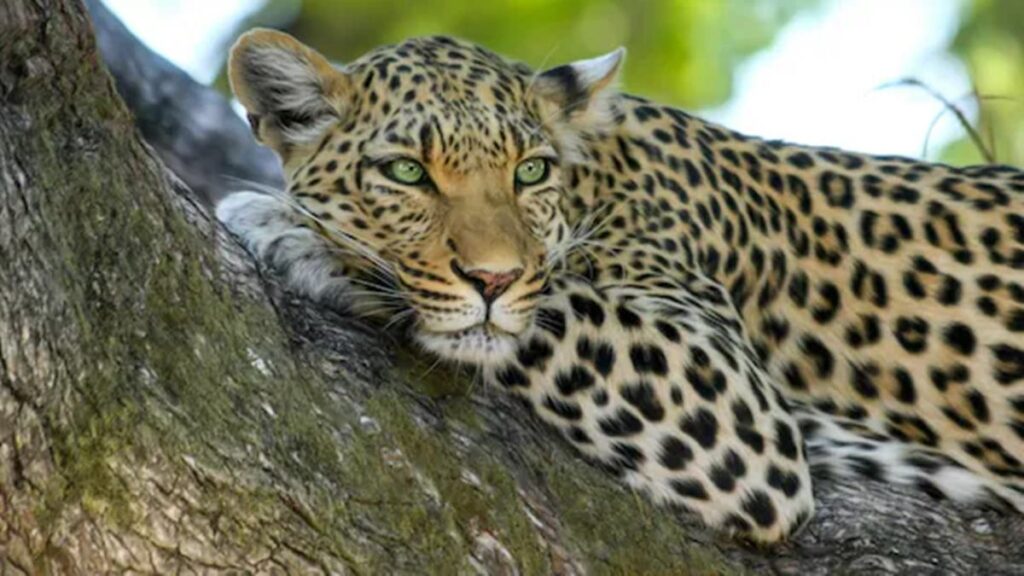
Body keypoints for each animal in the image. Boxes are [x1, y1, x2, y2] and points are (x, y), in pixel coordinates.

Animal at [216, 28, 1024, 543]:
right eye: (407, 172)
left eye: (529, 172)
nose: (492, 277)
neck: (597, 179)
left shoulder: (734, 402)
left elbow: (553, 307)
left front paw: (295, 231)